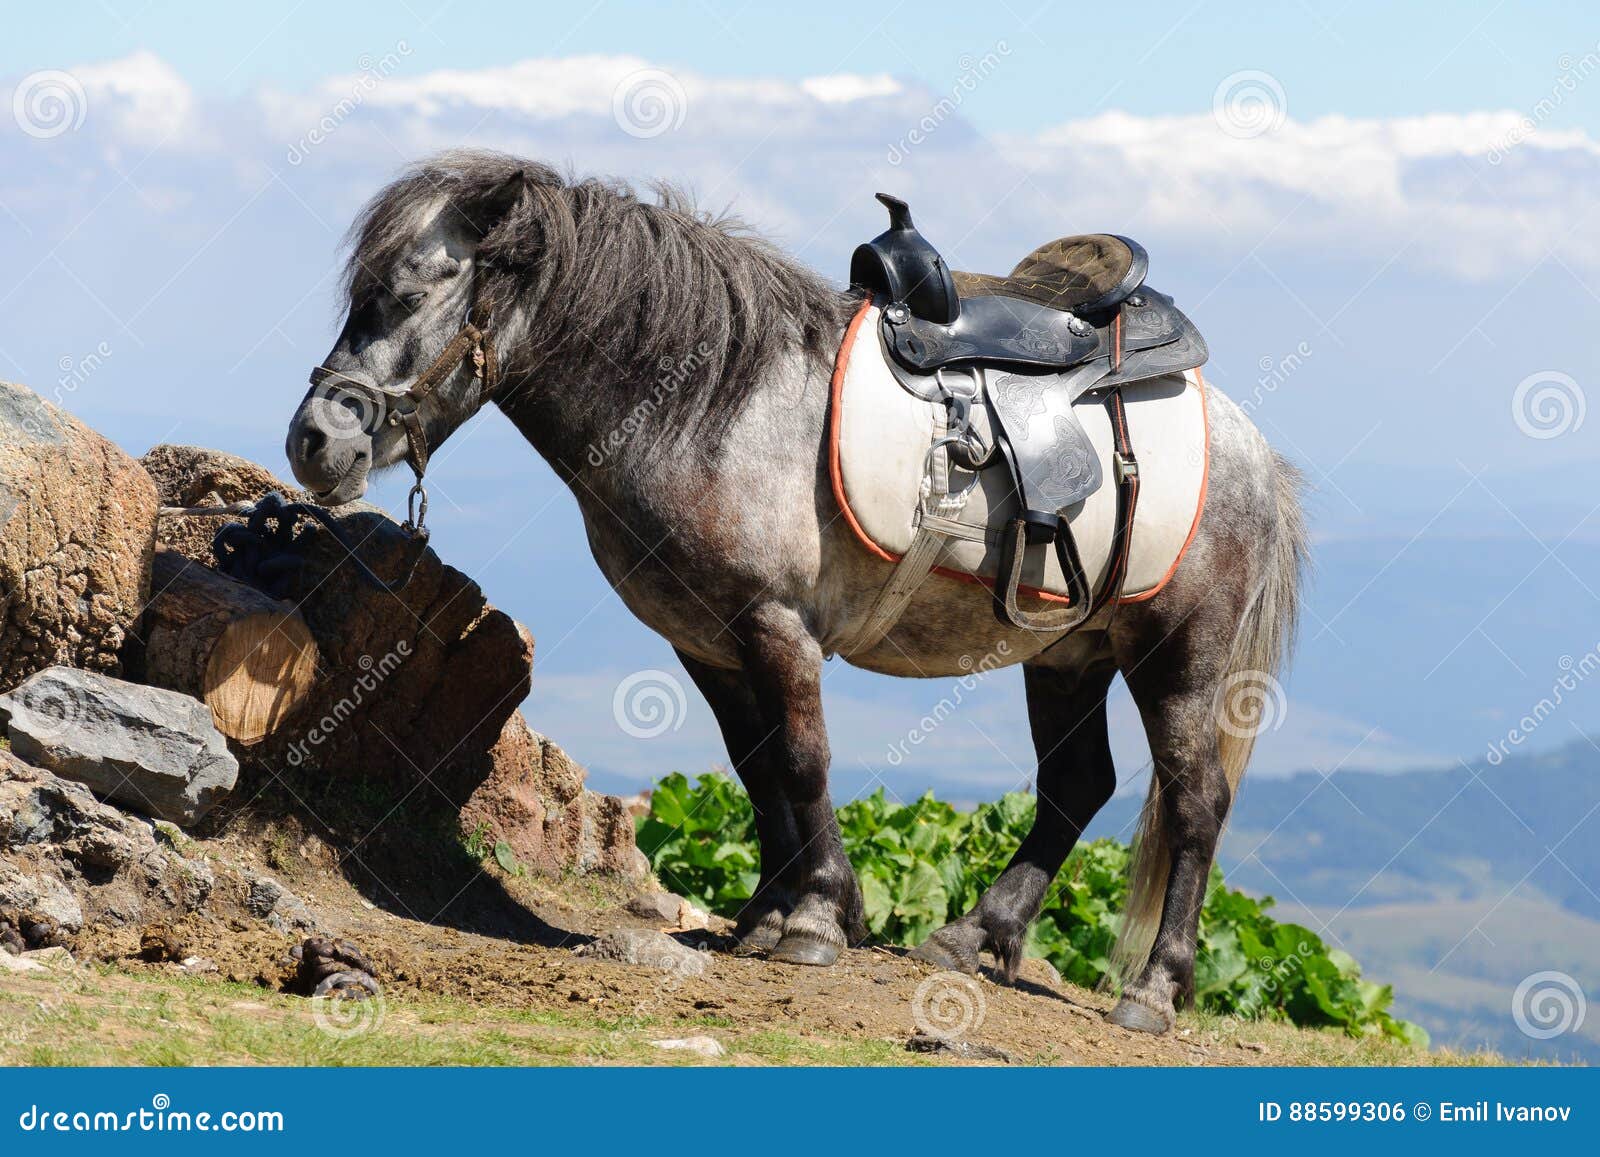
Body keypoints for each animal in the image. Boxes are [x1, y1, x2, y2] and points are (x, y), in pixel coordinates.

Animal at [284, 150, 1307, 1035]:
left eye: (409, 292)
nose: (314, 441)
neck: (713, 403)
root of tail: (1250, 443)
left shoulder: (778, 626)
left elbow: (804, 758)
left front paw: (813, 923)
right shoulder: (705, 639)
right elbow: (757, 764)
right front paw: (778, 911)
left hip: (1177, 652)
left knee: (1196, 799)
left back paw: (1154, 989)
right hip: (1066, 654)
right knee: (1074, 785)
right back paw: (971, 937)